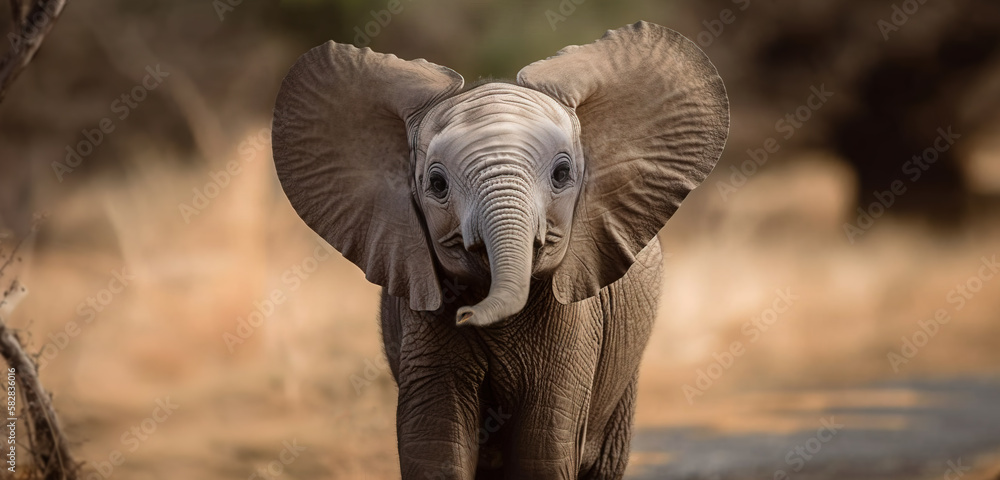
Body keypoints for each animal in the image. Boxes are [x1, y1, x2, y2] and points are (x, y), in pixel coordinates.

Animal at [271, 21, 729, 480]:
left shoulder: (577, 325)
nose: (465, 315)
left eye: (562, 174)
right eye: (437, 184)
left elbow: (542, 451)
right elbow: (435, 448)